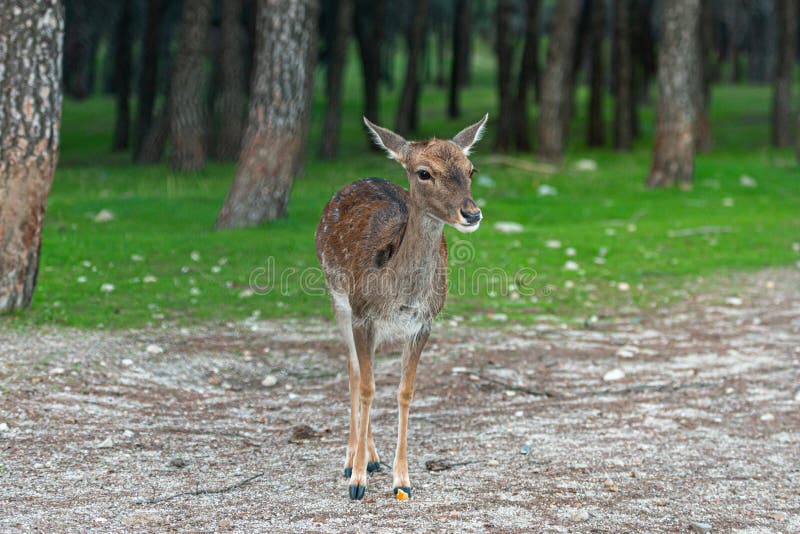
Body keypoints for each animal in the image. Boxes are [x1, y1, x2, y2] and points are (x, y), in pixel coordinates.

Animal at [314, 114, 487, 500]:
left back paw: (373, 458)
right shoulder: (362, 314)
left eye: (471, 169)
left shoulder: (424, 322)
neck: (399, 292)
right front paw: (357, 481)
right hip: (336, 297)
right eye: (424, 172)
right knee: (354, 371)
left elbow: (404, 392)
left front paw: (402, 480)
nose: (471, 213)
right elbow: (366, 387)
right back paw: (353, 459)